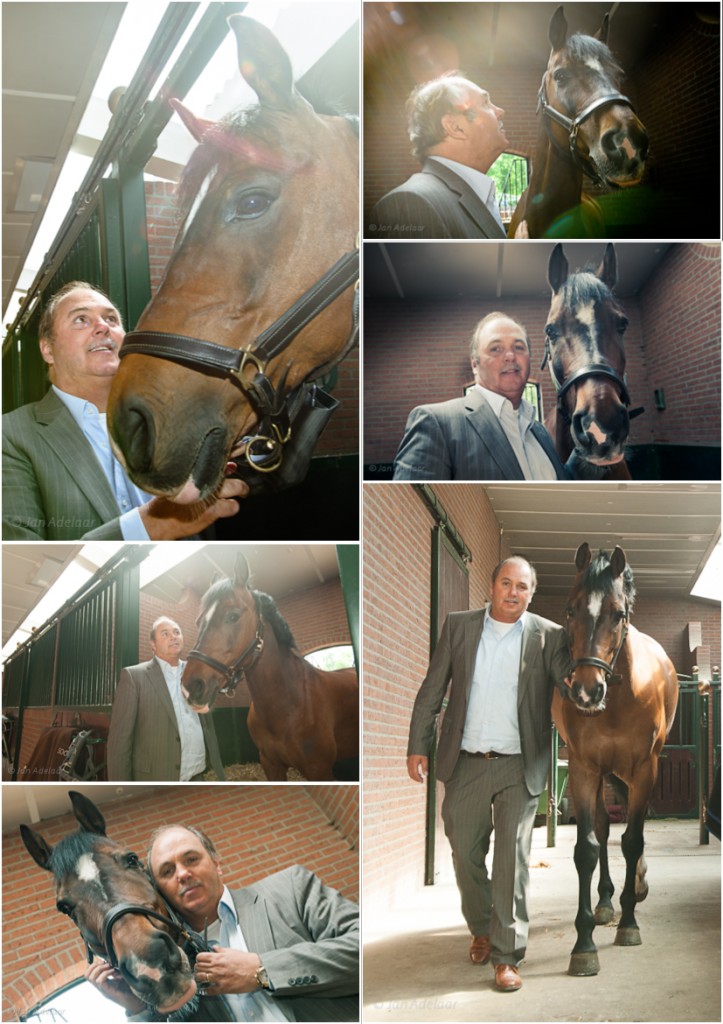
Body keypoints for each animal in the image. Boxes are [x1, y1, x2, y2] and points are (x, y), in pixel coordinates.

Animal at [182, 553, 359, 781]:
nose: (190, 687)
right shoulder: (271, 765)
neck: (287, 706)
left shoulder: (319, 770)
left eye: (233, 616)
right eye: (198, 622)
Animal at [552, 543, 678, 976]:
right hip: (604, 773)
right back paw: (606, 901)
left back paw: (631, 891)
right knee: (605, 829)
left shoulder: (644, 769)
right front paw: (584, 943)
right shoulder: (583, 769)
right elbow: (588, 847)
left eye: (618, 613)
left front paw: (629, 924)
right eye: (570, 609)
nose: (586, 691)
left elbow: (634, 839)